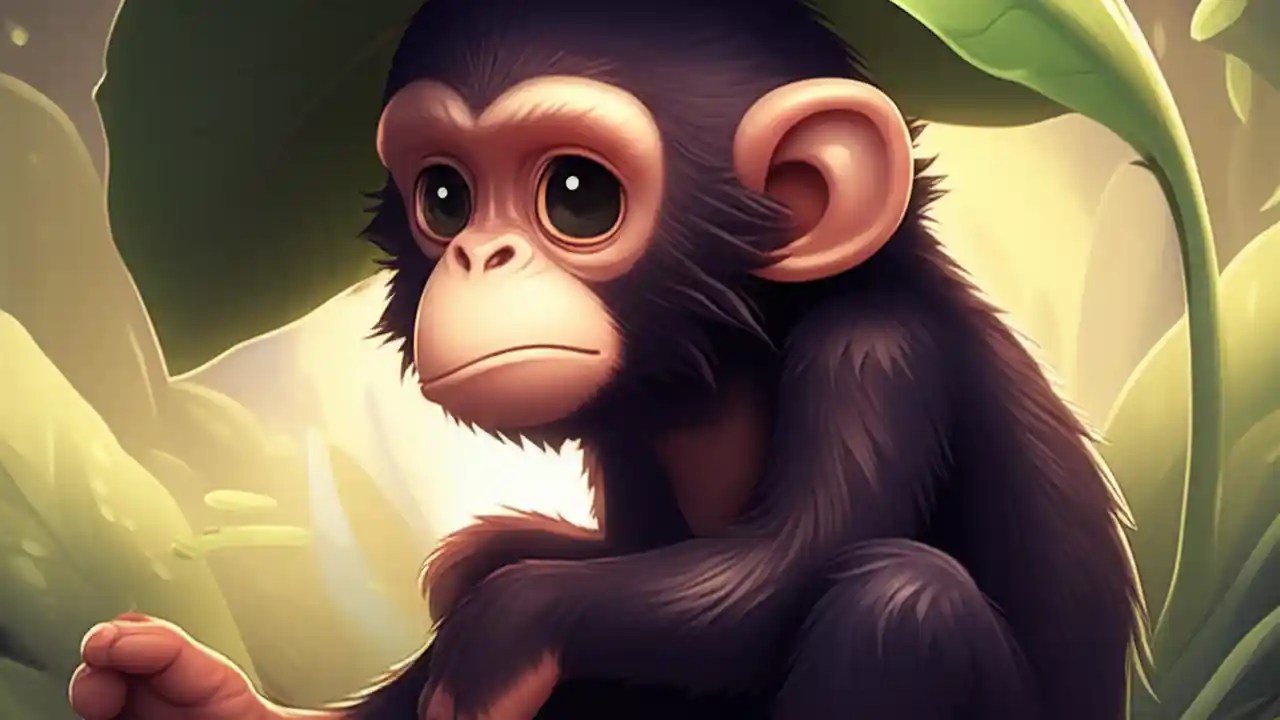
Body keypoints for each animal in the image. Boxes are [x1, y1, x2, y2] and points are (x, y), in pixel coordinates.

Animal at [67, 0, 1145, 719]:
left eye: (576, 196)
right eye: (445, 198)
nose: (478, 256)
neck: (740, 351)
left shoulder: (876, 356)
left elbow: (776, 572)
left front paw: (504, 629)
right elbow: (623, 562)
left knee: (903, 607)